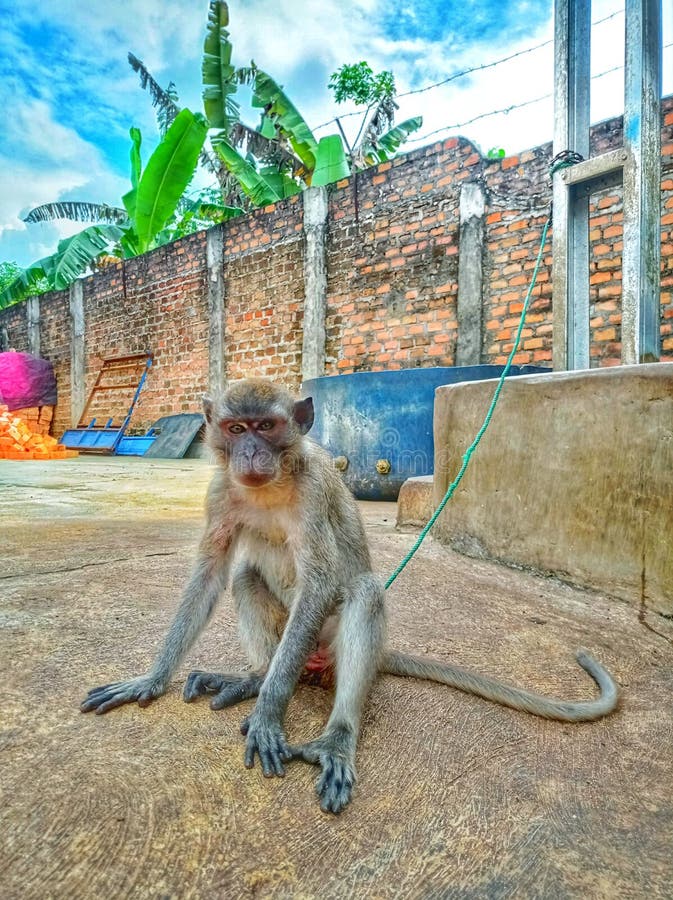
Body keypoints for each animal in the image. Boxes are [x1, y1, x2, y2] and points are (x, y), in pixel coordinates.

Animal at [81, 378, 619, 814]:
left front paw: (270, 716)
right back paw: (255, 677)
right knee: (246, 579)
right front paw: (151, 679)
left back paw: (333, 737)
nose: (251, 453)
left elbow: (320, 581)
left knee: (363, 592)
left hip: (323, 640)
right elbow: (211, 574)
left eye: (266, 426)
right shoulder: (220, 492)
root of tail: (316, 661)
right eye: (236, 429)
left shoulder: (314, 490)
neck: (272, 485)